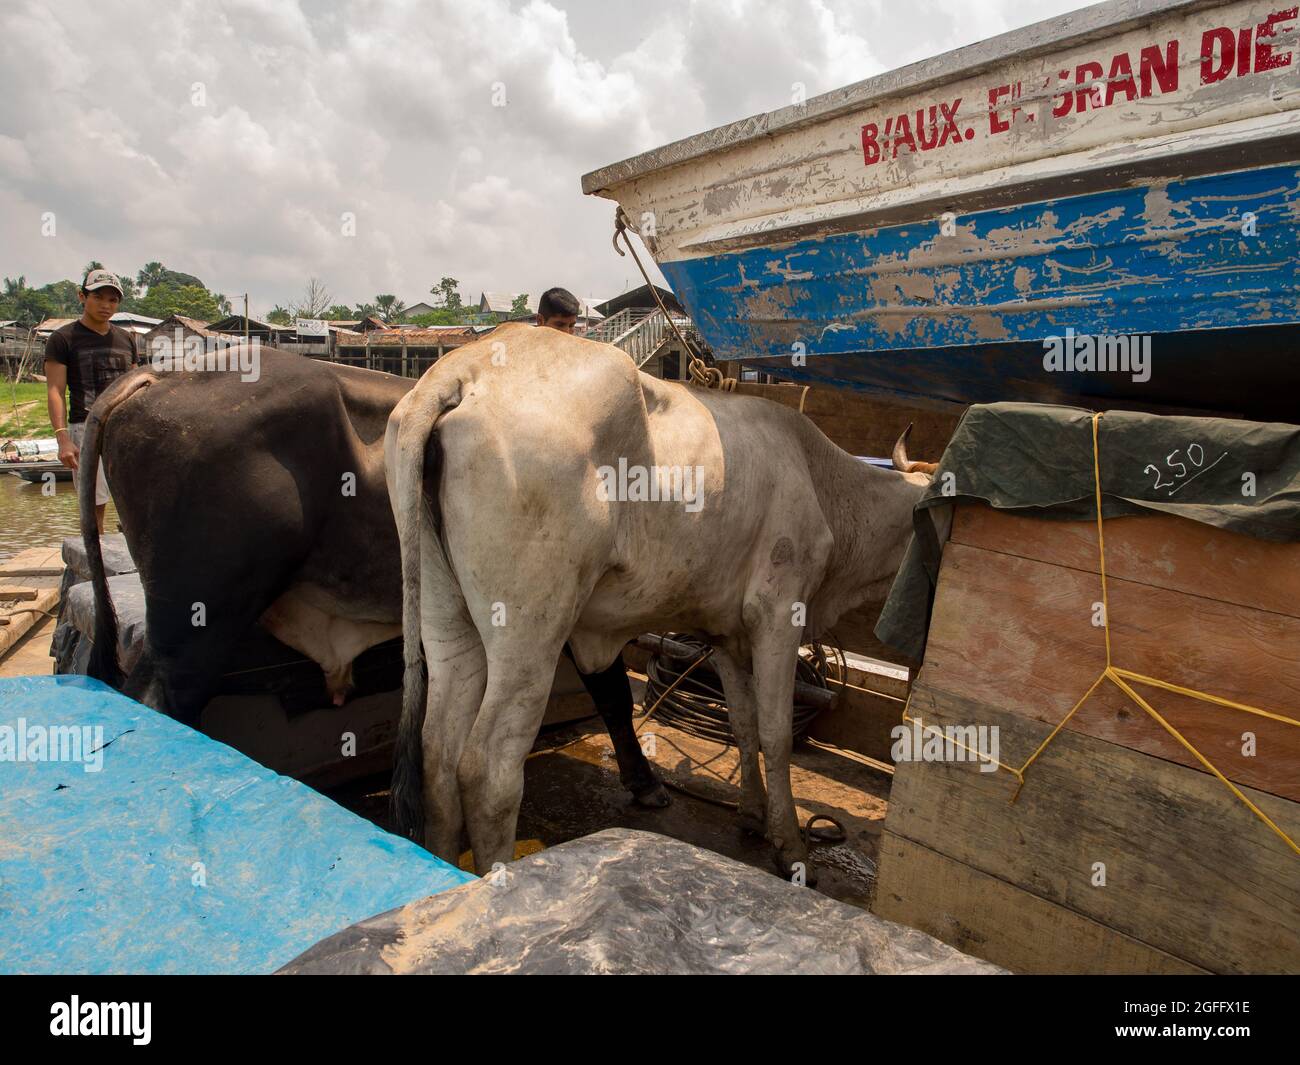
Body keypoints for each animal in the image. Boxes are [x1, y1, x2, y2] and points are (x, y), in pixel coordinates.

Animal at [386, 323, 933, 877]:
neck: (824, 482)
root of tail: (466, 367)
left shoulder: (726, 635)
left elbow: (743, 725)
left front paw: (752, 814)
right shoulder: (779, 614)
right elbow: (776, 733)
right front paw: (791, 846)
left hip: (447, 621)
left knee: (437, 752)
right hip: (529, 632)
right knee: (488, 769)